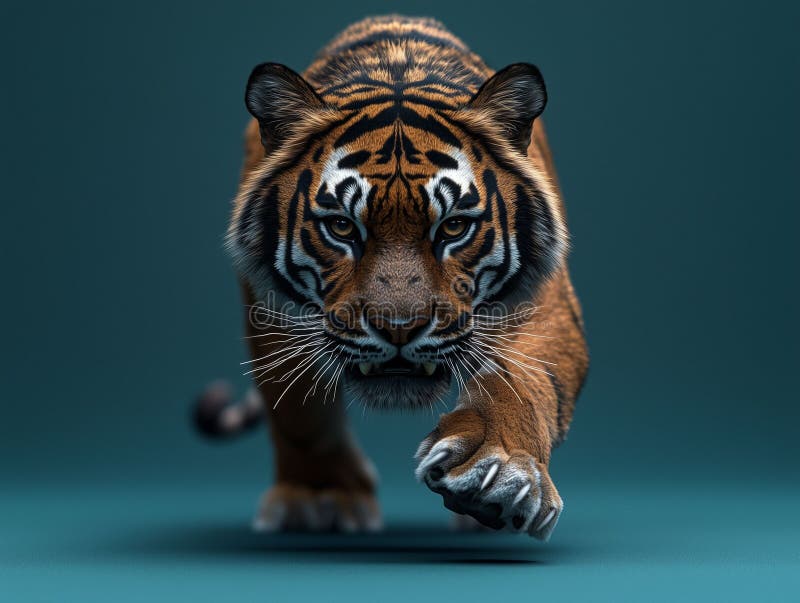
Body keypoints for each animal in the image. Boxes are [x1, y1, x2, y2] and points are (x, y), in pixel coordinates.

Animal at [195, 15, 588, 540]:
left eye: (453, 227)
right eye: (342, 226)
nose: (398, 328)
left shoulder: (548, 302)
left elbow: (522, 379)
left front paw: (497, 472)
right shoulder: (270, 311)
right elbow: (297, 409)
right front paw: (320, 497)